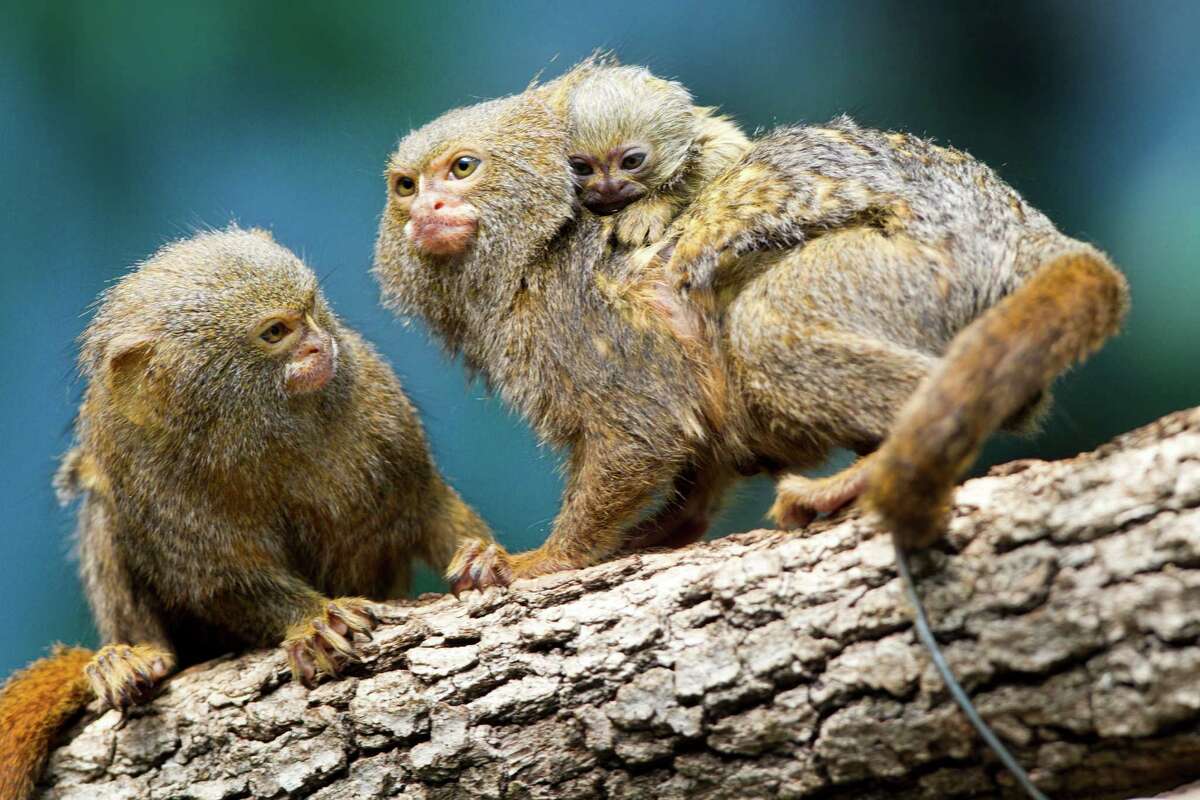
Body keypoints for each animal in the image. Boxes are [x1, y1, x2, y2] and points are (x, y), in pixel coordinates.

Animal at [0, 226, 493, 800]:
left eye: (311, 310)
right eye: (276, 332)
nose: (318, 345)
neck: (256, 430)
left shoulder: (381, 409)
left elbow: (427, 505)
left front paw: (483, 560)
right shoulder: (148, 475)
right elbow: (223, 580)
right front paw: (314, 621)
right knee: (103, 516)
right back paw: (131, 658)